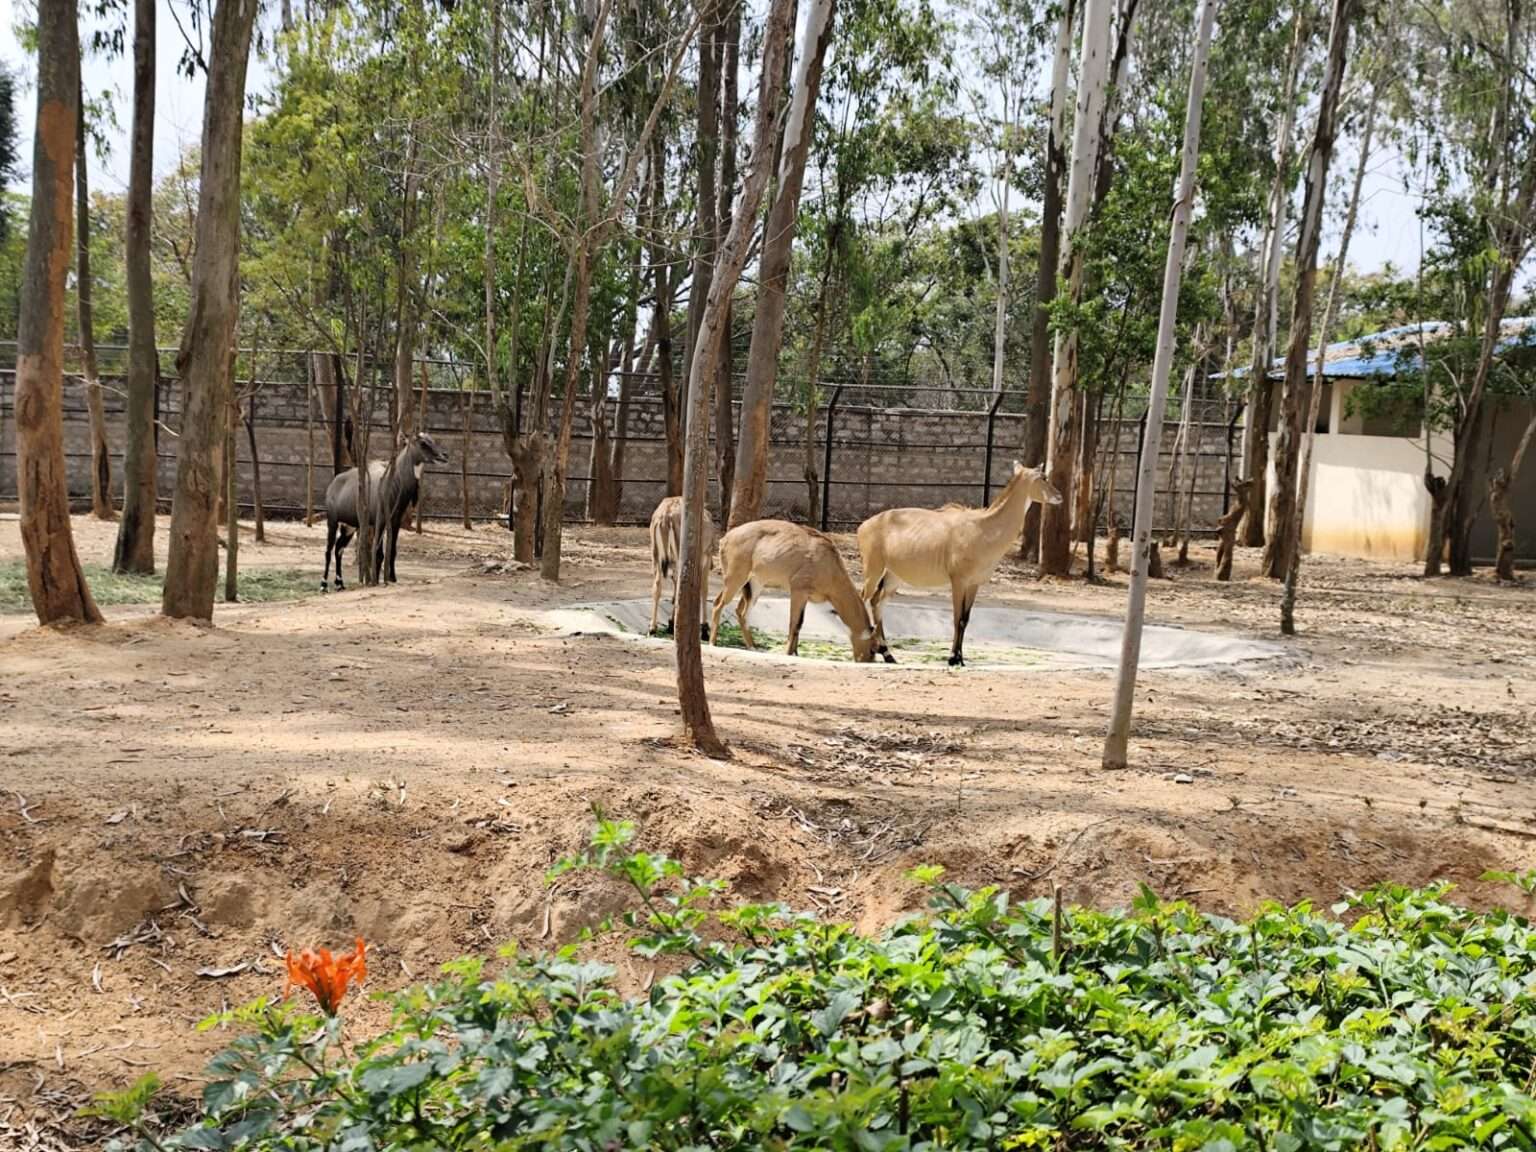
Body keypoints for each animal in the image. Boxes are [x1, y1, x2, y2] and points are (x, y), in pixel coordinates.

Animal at [648, 496, 720, 636]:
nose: (713, 566)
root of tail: (666, 516)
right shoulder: (705, 558)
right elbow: (703, 589)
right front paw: (704, 629)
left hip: (657, 556)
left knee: (658, 586)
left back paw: (653, 628)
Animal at [710, 520, 877, 662]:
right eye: (874, 649)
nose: (866, 661)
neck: (829, 566)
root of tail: (725, 539)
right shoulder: (798, 590)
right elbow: (794, 623)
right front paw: (788, 652)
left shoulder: (806, 596)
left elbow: (800, 623)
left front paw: (795, 652)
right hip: (735, 578)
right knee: (718, 604)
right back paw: (713, 642)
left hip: (753, 585)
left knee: (741, 611)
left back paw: (753, 646)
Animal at [857, 461, 1061, 666]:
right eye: (1043, 477)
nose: (1059, 496)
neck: (984, 528)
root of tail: (863, 526)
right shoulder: (958, 580)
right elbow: (956, 618)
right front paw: (952, 658)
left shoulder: (974, 583)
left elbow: (965, 619)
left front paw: (959, 659)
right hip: (873, 570)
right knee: (864, 598)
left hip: (893, 576)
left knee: (877, 603)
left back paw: (887, 654)